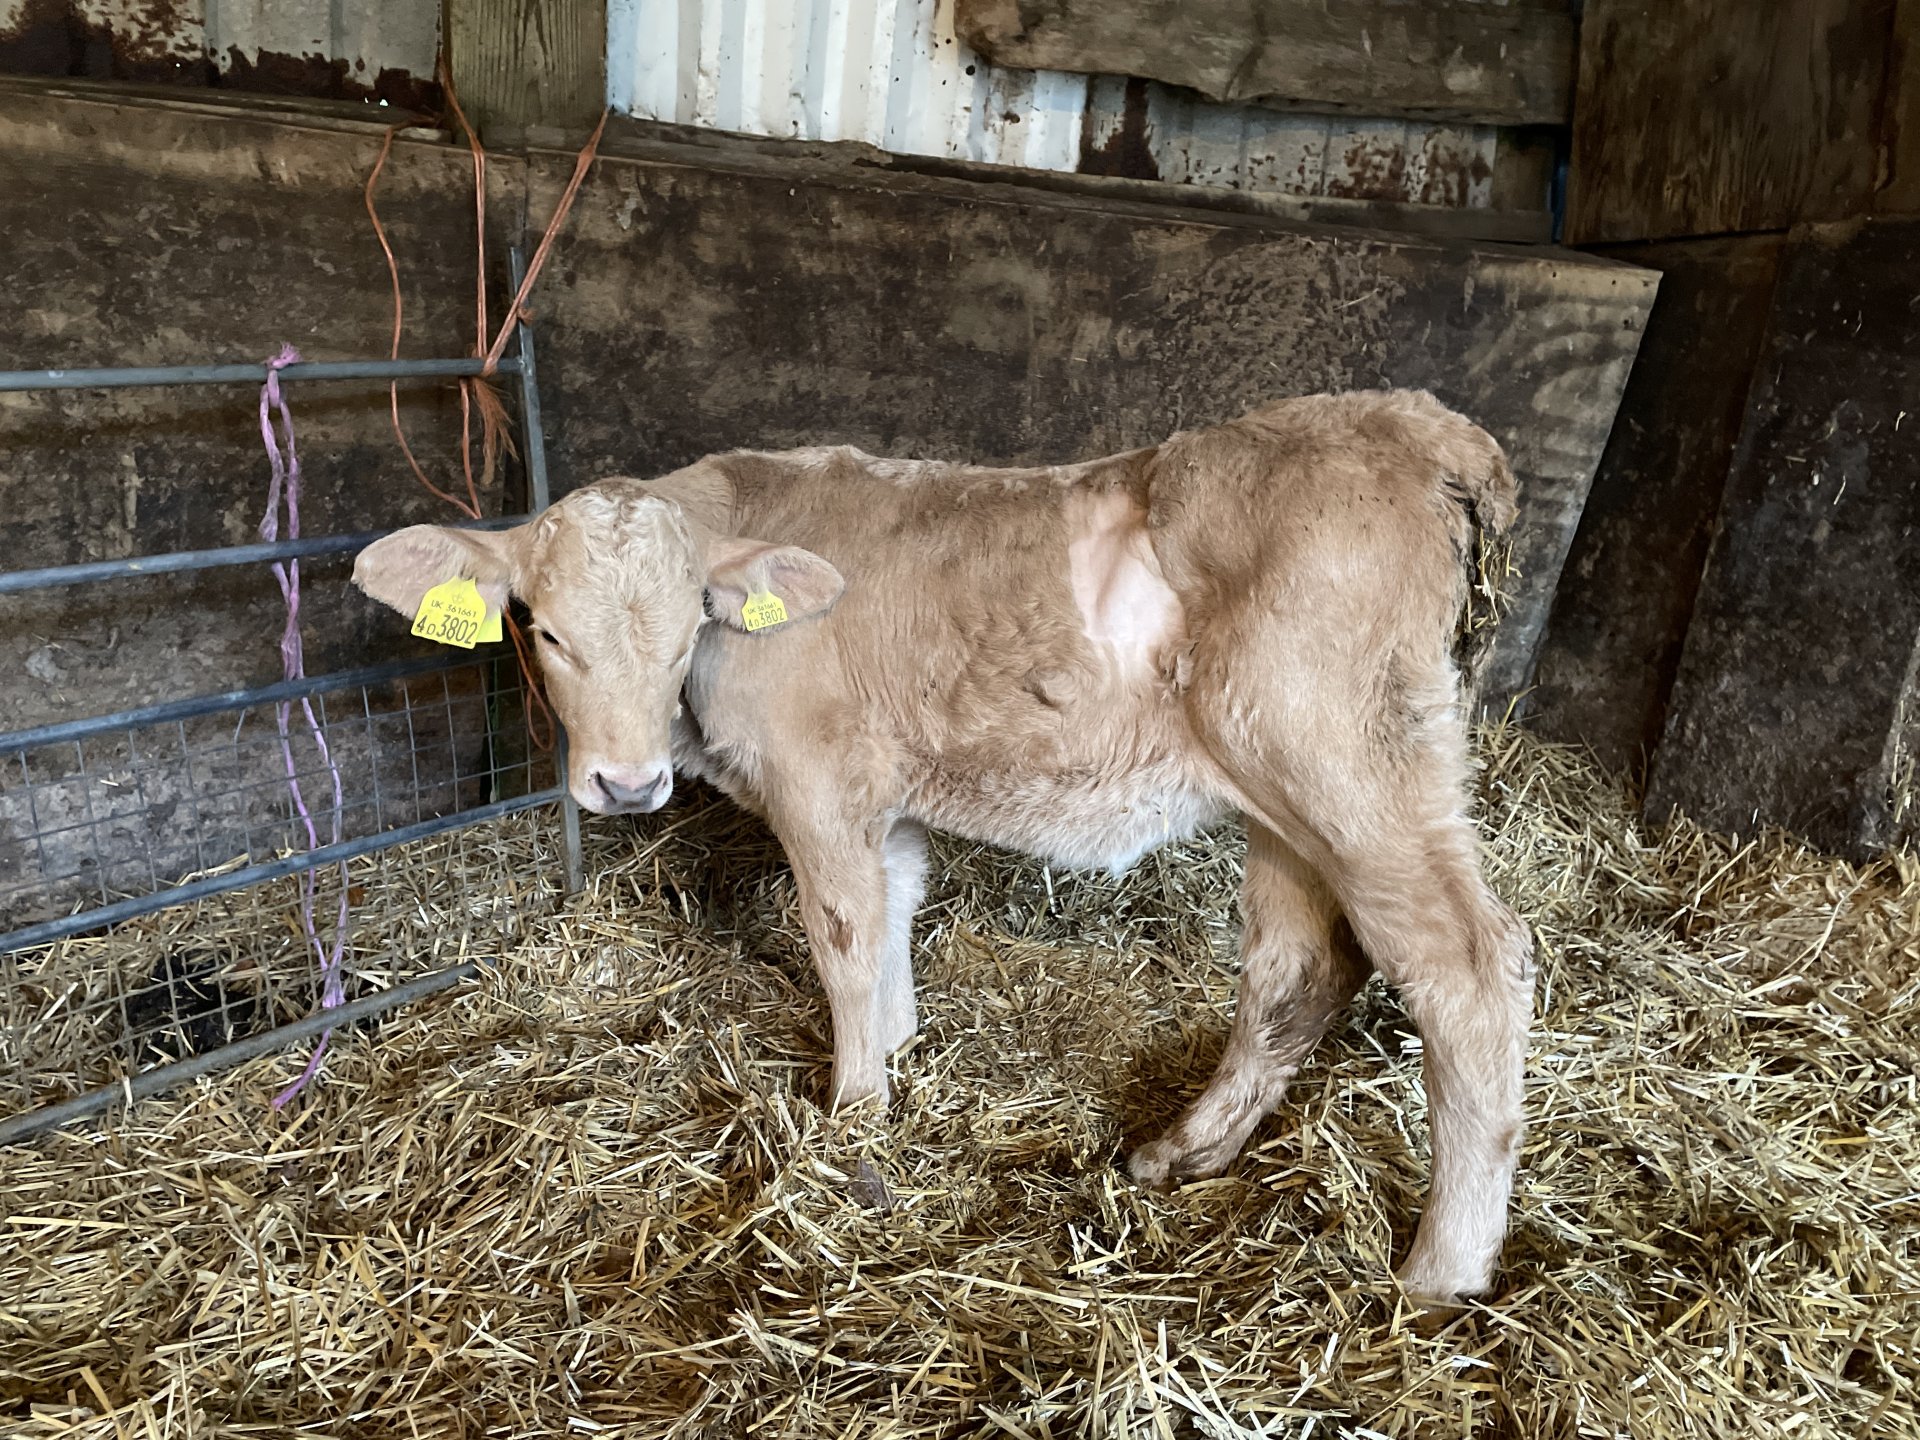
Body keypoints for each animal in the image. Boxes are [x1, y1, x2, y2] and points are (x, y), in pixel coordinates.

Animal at [352, 389, 1536, 1306]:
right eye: (545, 629)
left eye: (689, 627)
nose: (628, 784)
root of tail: (1419, 424)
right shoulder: (890, 794)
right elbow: (893, 915)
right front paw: (897, 1051)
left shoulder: (817, 786)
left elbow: (840, 934)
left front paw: (852, 1115)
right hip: (1285, 803)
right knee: (1296, 969)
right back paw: (1182, 1153)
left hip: (1356, 763)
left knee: (1470, 963)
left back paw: (1441, 1270)